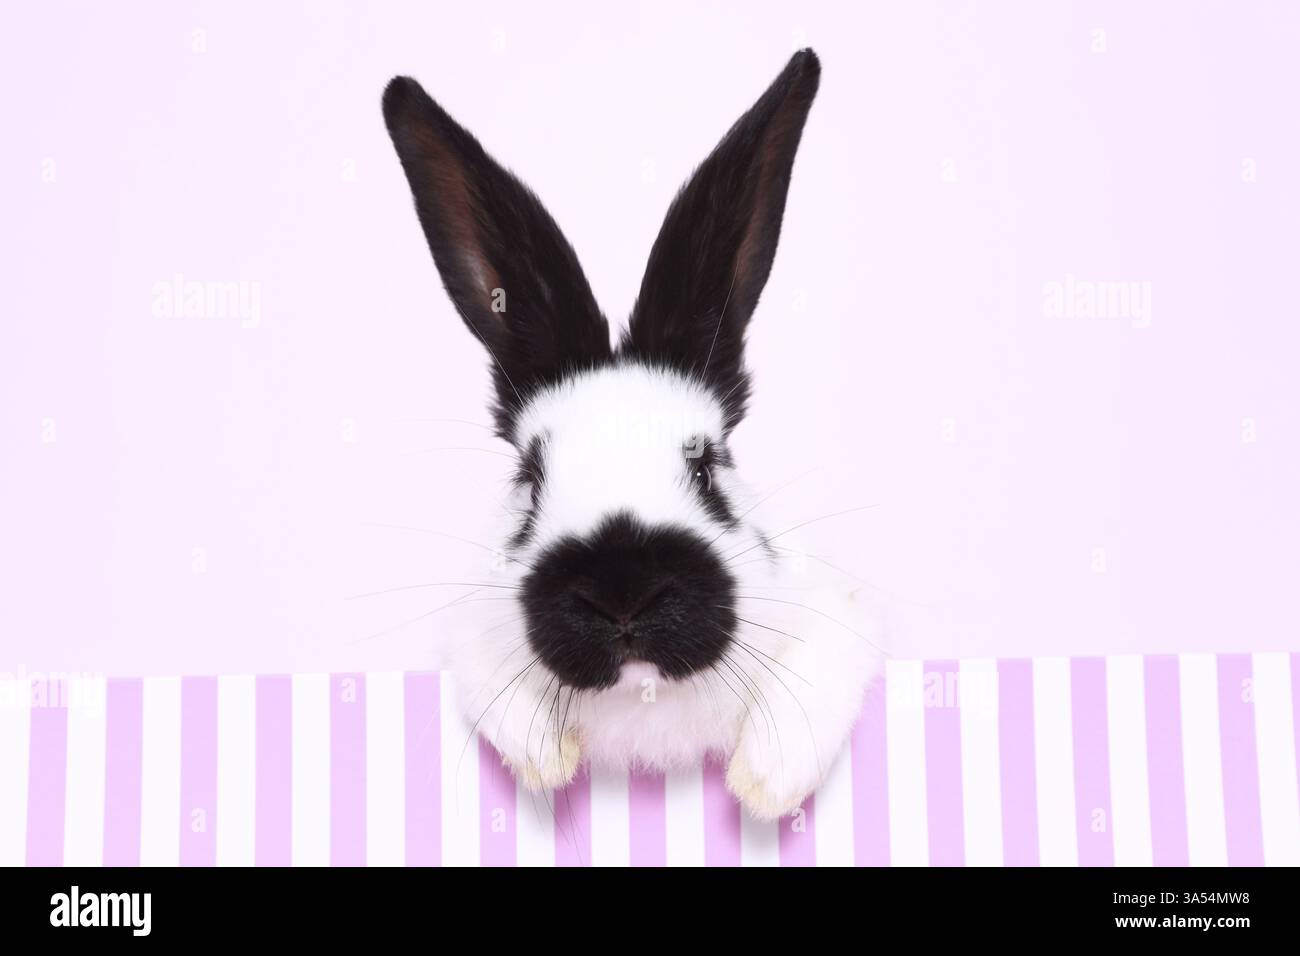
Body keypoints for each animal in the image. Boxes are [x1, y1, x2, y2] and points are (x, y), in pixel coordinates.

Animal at [382, 49, 883, 820]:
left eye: (706, 468)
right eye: (531, 480)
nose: (622, 590)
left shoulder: (838, 615)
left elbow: (810, 694)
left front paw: (765, 783)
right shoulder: (469, 633)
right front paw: (546, 757)